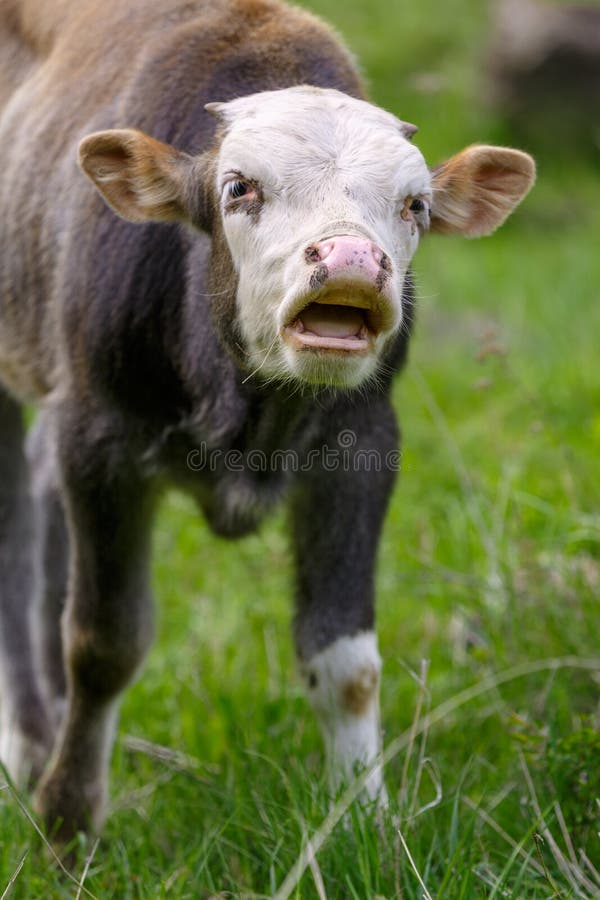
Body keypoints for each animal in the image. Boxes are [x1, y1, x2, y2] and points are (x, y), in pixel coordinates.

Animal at [0, 0, 535, 842]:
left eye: (414, 204)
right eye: (239, 187)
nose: (351, 258)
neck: (251, 413)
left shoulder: (364, 446)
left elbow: (346, 661)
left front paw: (363, 819)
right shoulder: (99, 434)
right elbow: (104, 640)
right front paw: (66, 823)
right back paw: (28, 746)